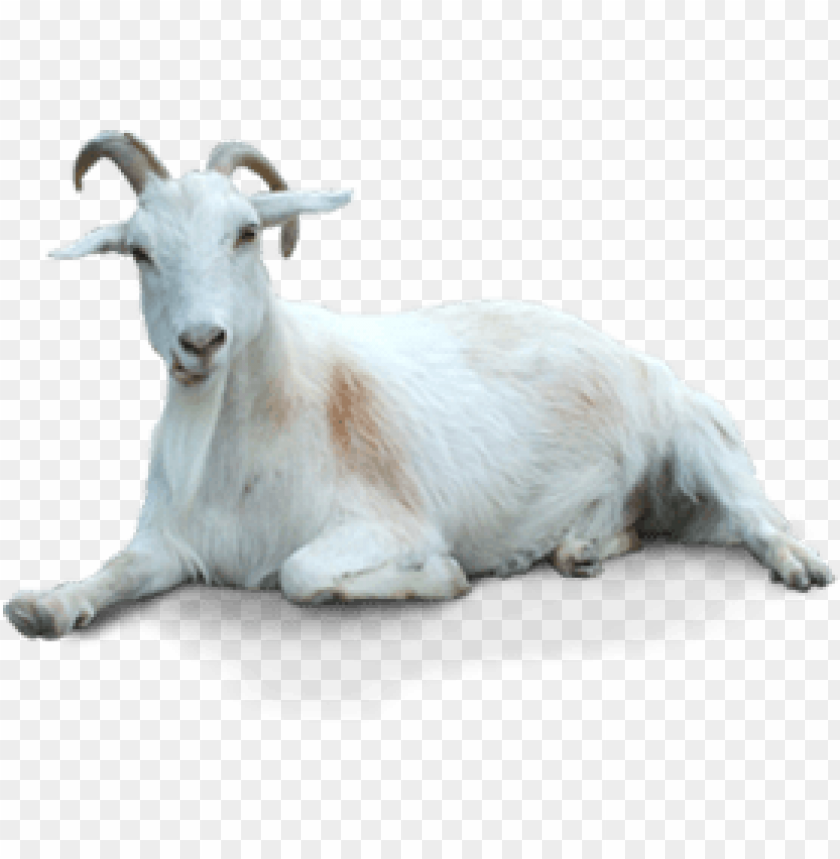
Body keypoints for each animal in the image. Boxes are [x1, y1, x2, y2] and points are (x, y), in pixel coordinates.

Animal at [5, 131, 833, 639]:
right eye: (139, 251)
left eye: (247, 232)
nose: (200, 342)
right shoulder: (170, 543)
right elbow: (116, 568)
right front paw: (45, 605)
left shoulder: (386, 522)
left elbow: (302, 574)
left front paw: (445, 577)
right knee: (634, 524)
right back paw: (577, 550)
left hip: (702, 439)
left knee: (758, 518)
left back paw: (801, 564)